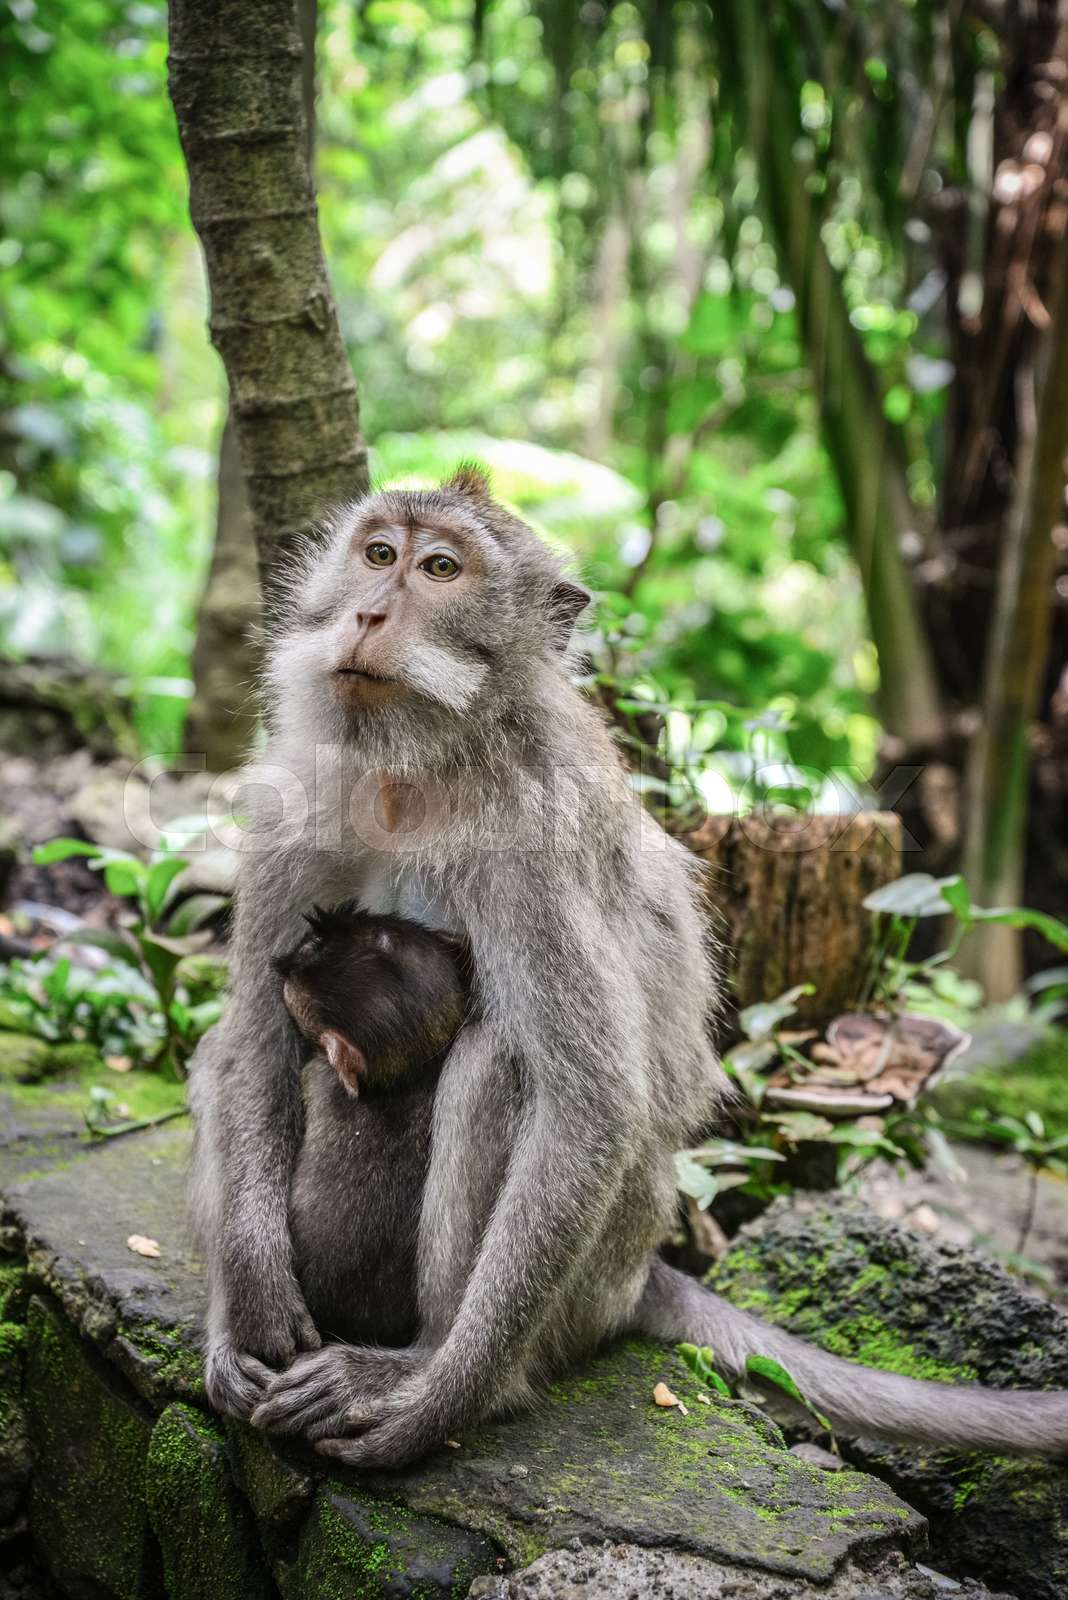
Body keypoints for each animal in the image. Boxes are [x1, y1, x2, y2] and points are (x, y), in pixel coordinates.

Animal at [188, 464, 1068, 1465]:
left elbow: (593, 1102)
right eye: (378, 553)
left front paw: (437, 1400)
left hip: (592, 1275)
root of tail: (647, 1264)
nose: (370, 612)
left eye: (441, 569)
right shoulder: (293, 798)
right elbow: (254, 1036)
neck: (419, 762)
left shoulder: (536, 834)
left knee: (501, 1065)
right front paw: (253, 1300)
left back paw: (437, 1367)